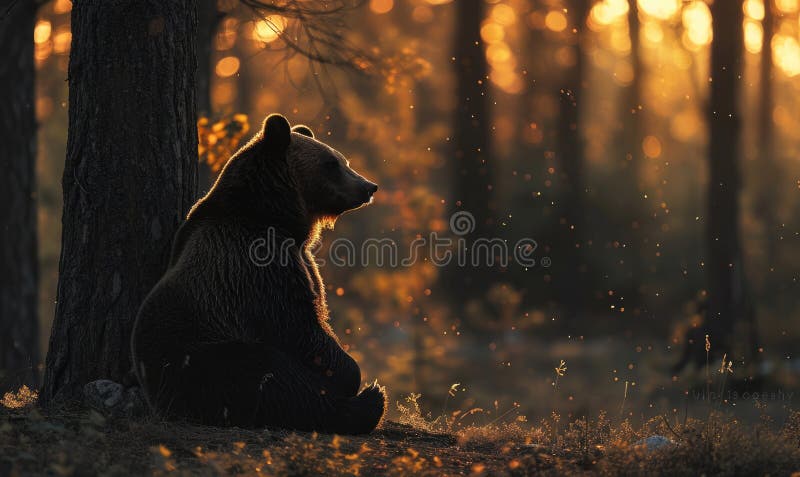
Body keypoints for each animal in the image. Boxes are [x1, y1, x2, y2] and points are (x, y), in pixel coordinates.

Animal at [130, 114, 386, 434]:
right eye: (331, 163)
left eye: (343, 160)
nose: (369, 186)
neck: (275, 215)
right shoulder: (257, 262)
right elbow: (298, 323)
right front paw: (350, 374)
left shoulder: (301, 258)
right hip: (208, 359)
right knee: (279, 382)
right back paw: (370, 399)